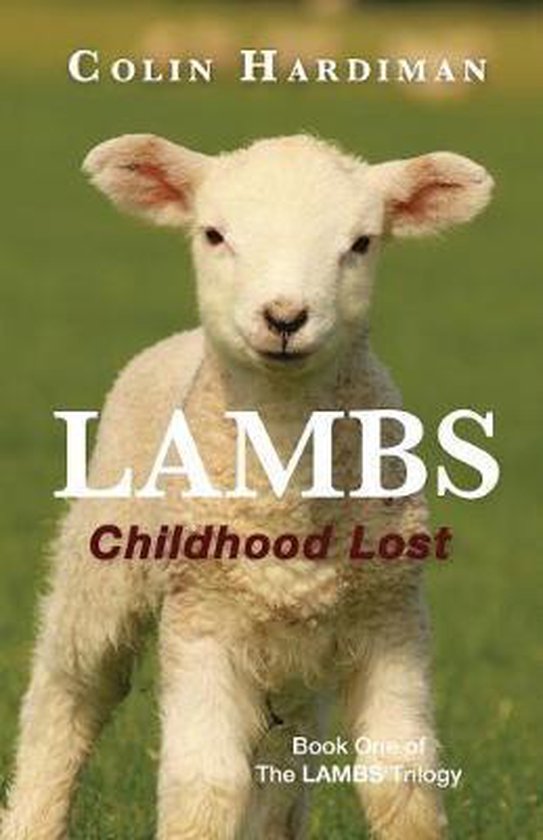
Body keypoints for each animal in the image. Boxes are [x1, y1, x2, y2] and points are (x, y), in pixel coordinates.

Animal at [2, 133, 493, 840]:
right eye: (214, 234)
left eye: (361, 243)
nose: (285, 317)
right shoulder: (203, 619)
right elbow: (205, 786)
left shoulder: (392, 619)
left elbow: (400, 783)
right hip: (101, 565)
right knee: (68, 691)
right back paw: (32, 814)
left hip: (293, 659)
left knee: (283, 759)